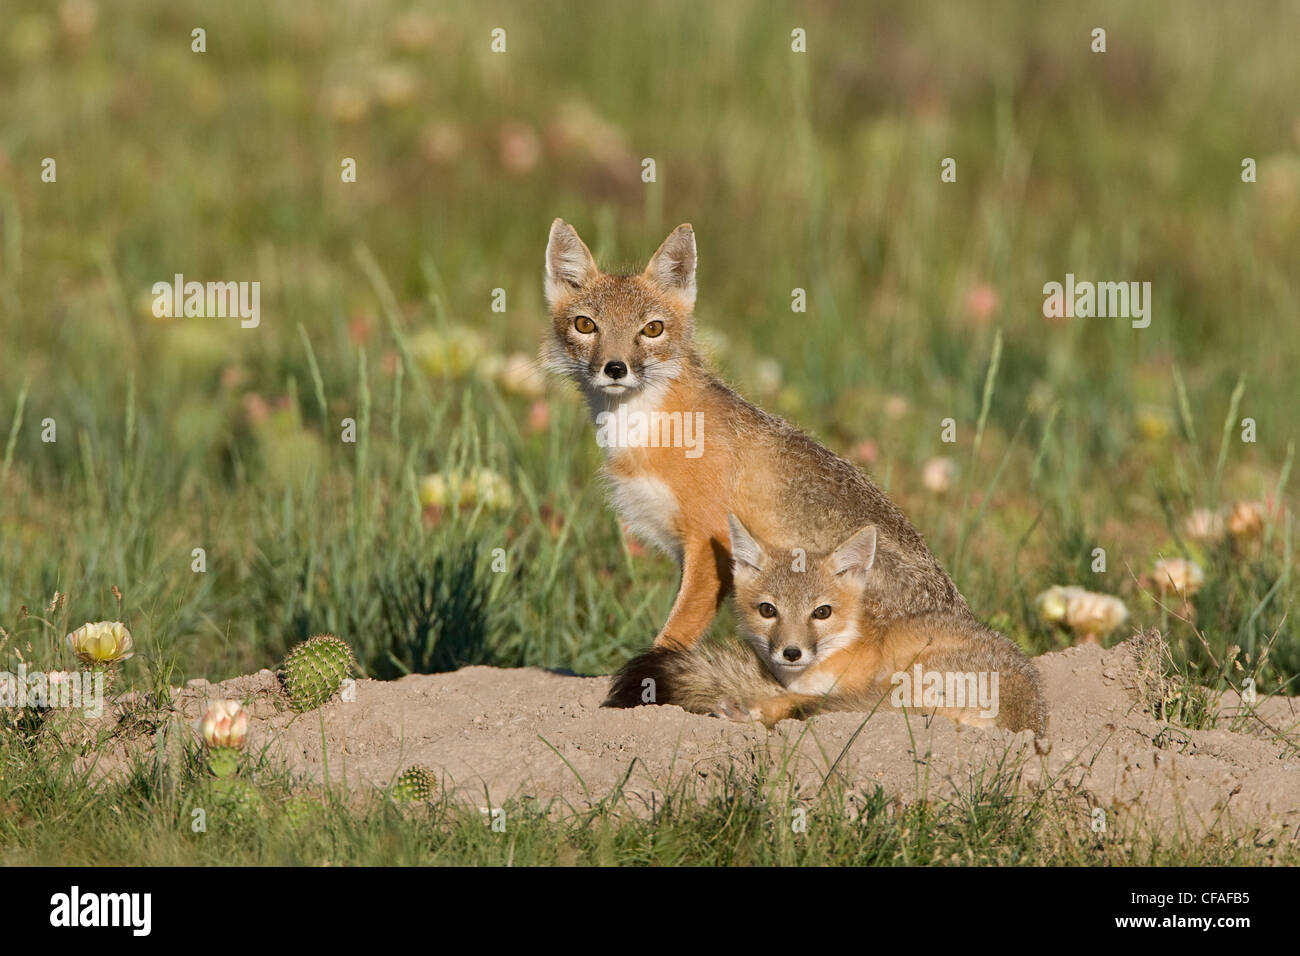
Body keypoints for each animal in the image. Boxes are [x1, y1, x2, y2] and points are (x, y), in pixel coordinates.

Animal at [541, 219, 969, 650]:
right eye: (585, 325)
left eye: (652, 329)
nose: (615, 368)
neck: (643, 428)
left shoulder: (709, 544)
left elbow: (670, 639)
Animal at [606, 515, 1049, 750]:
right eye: (768, 610)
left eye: (822, 612)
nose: (791, 653)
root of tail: (1024, 718)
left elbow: (799, 701)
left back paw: (746, 711)